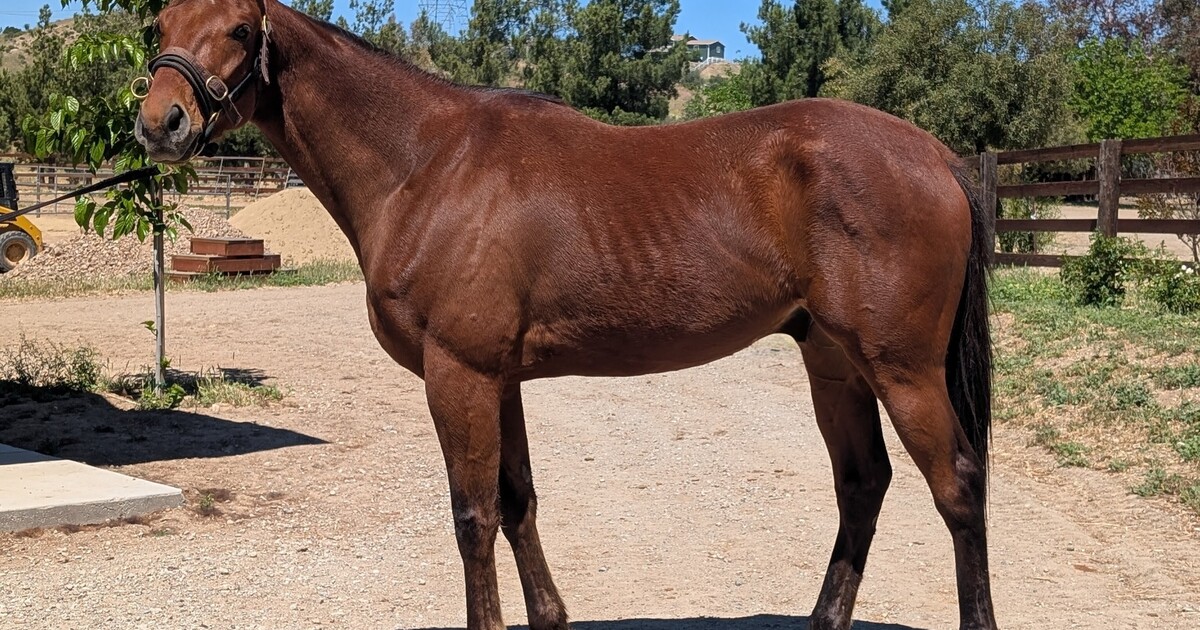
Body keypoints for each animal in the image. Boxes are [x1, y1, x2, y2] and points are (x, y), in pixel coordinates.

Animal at [135, 1, 997, 628]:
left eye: (239, 29)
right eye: (160, 26)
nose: (161, 122)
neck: (426, 165)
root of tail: (936, 157)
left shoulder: (459, 373)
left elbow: (474, 516)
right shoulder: (500, 378)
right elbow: (518, 501)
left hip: (901, 369)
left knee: (956, 488)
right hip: (834, 363)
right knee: (863, 484)